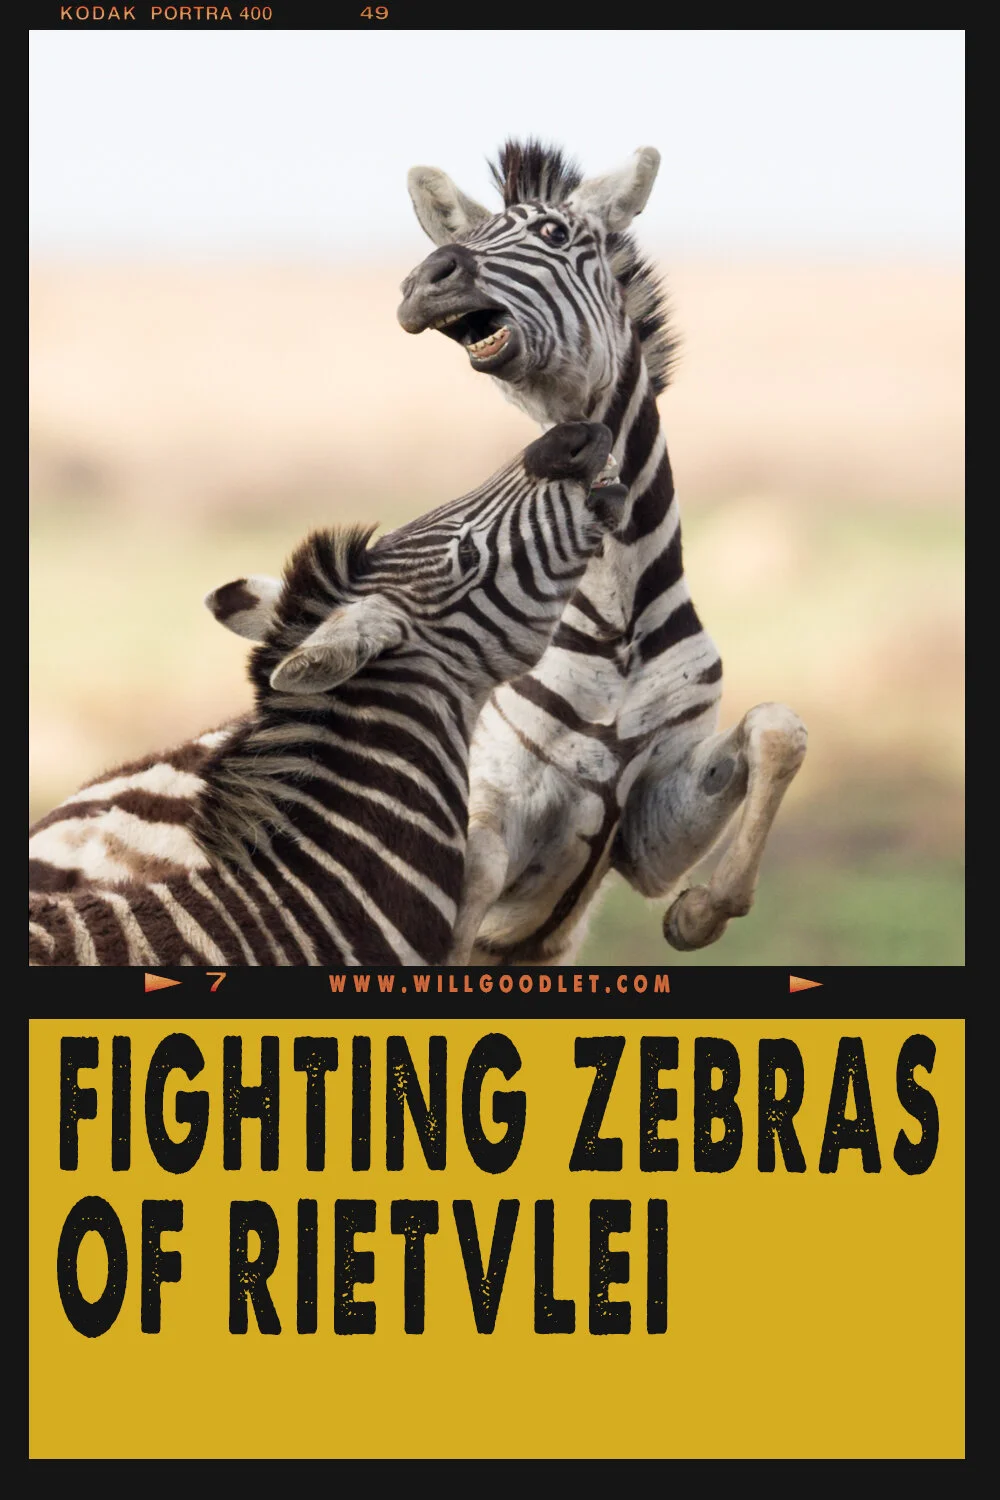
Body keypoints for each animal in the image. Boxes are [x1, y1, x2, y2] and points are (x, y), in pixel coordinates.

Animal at [398, 139, 808, 963]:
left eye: (555, 234)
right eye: (458, 238)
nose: (430, 276)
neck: (620, 615)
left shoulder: (649, 831)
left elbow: (779, 728)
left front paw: (702, 909)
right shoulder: (491, 801)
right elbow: (472, 874)